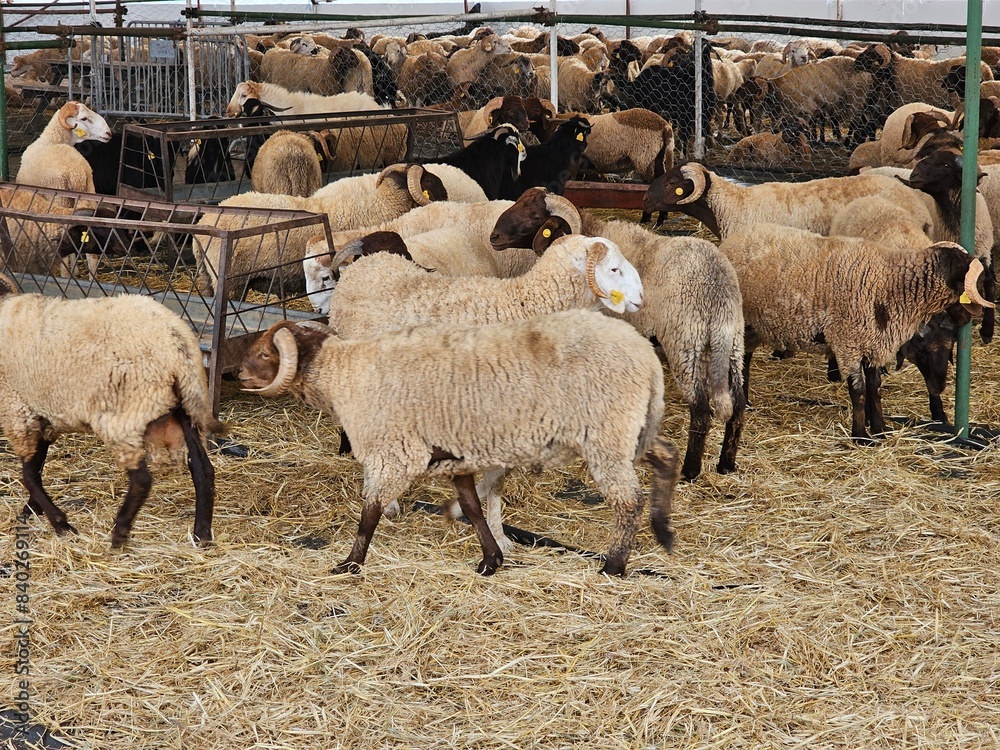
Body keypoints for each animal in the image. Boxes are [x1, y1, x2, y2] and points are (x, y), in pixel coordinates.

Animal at [0, 278, 224, 547]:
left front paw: (60, 523)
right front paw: (33, 509)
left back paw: (120, 531)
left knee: (142, 480)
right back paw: (202, 533)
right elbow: (36, 468)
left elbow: (29, 475)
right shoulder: (40, 415)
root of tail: (177, 344)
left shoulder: (18, 411)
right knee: (202, 468)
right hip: (184, 406)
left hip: (125, 415)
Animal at [239, 310, 680, 577]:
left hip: (605, 435)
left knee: (628, 500)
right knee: (667, 457)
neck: (343, 375)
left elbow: (370, 513)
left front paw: (350, 563)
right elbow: (472, 507)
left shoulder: (394, 452)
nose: (239, 374)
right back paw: (663, 532)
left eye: (264, 353)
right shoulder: (456, 454)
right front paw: (491, 560)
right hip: (630, 431)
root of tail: (646, 356)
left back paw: (614, 565)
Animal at [490, 188, 746, 482]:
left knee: (702, 411)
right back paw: (726, 463)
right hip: (732, 343)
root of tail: (718, 287)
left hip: (685, 342)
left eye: (534, 217)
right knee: (738, 406)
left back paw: (690, 470)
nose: (494, 237)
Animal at [716, 224, 993, 442]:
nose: (971, 316)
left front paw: (881, 428)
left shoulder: (872, 341)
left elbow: (875, 386)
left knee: (745, 358)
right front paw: (861, 435)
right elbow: (858, 391)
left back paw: (747, 400)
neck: (890, 284)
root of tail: (732, 240)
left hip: (755, 325)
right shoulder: (847, 341)